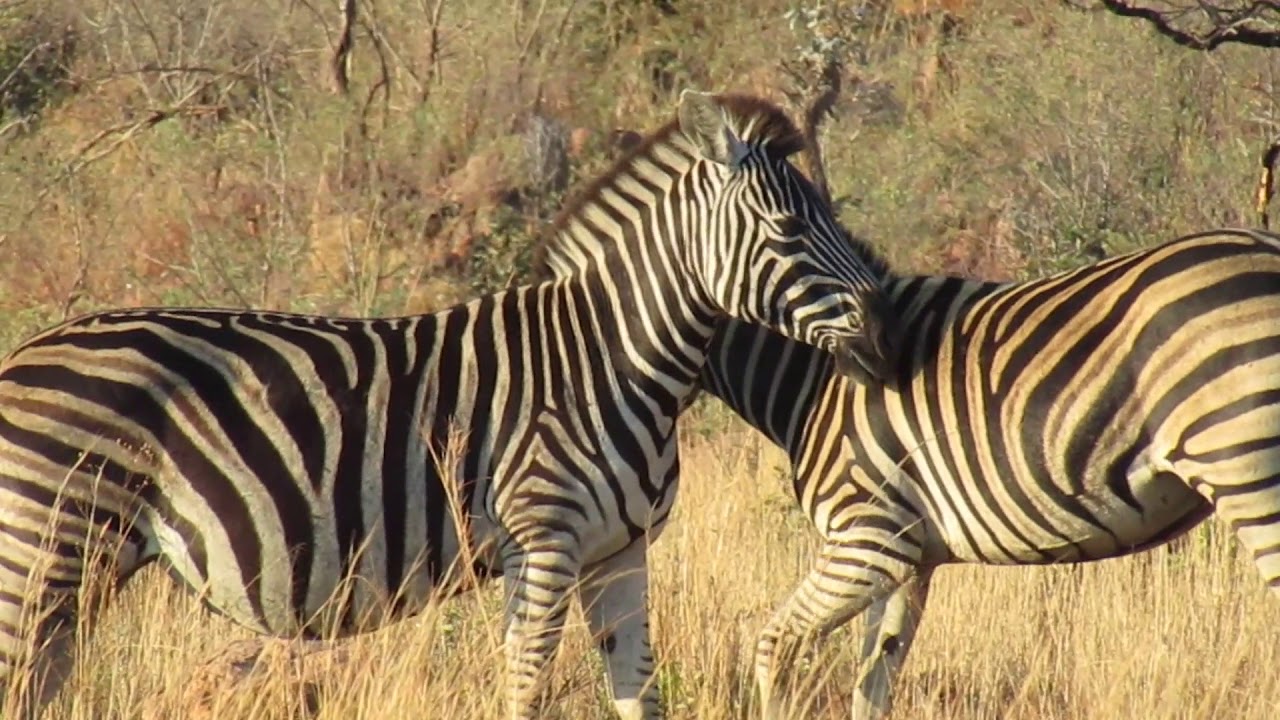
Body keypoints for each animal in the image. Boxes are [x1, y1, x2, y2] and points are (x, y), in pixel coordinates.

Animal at [0, 90, 894, 719]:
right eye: (787, 228)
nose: (884, 324)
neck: (613, 359)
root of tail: (26, 351)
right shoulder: (543, 541)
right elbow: (525, 686)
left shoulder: (620, 550)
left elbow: (638, 690)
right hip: (46, 547)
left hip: (75, 567)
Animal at [687, 226, 1280, 719]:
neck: (816, 380)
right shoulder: (910, 558)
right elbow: (874, 681)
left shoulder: (870, 537)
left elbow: (777, 645)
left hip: (1246, 469)